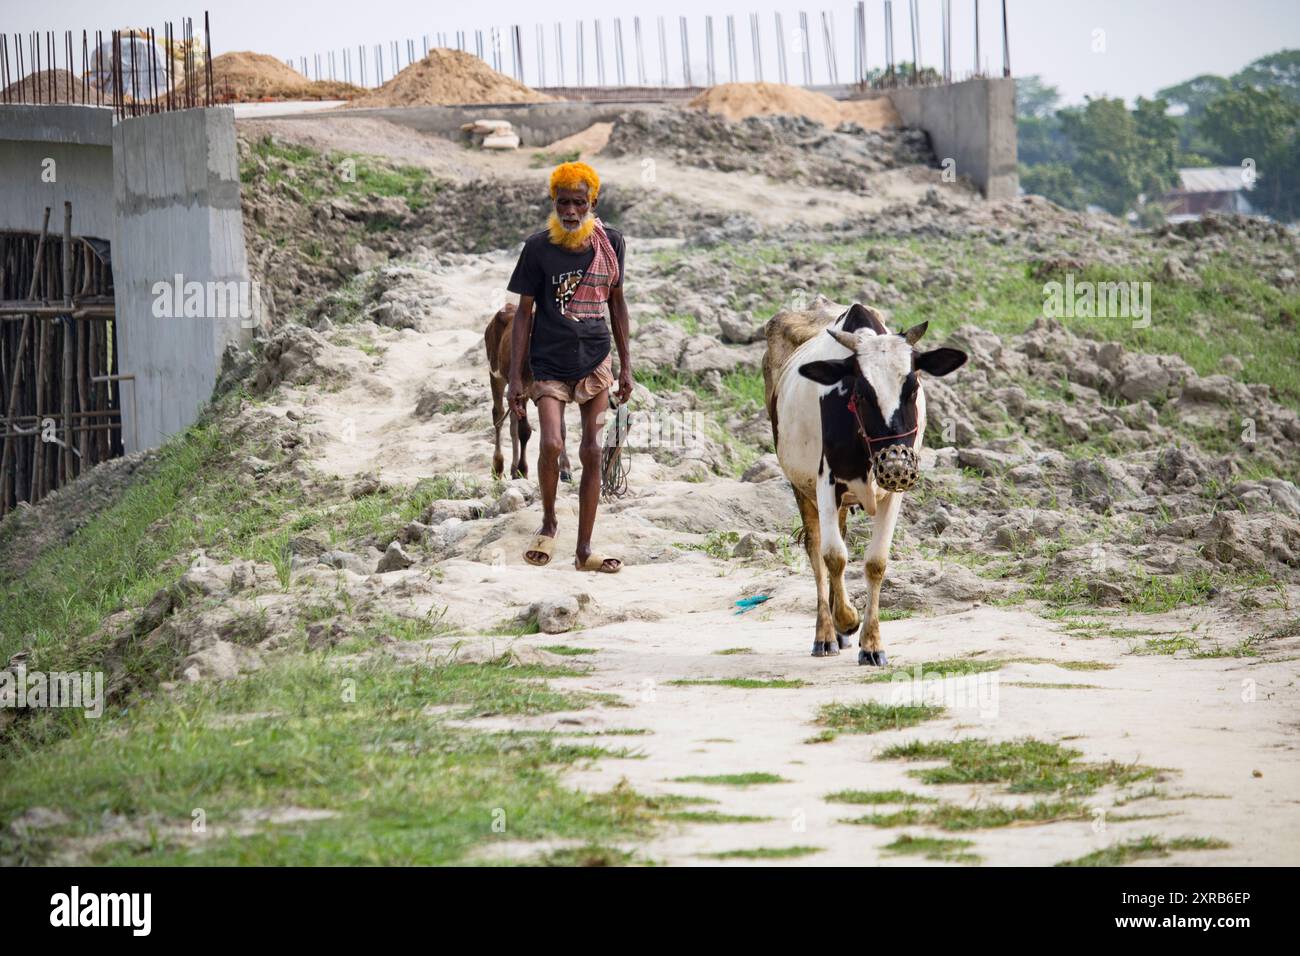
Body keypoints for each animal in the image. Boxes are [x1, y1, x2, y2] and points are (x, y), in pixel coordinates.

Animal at [485, 302, 572, 481]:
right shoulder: (522, 388)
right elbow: (524, 431)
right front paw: (522, 469)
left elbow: (561, 429)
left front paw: (565, 469)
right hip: (495, 375)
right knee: (498, 415)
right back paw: (498, 466)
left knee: (512, 422)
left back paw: (512, 468)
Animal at [763, 301, 968, 665]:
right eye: (860, 392)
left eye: (913, 388)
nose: (896, 464)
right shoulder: (826, 484)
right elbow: (833, 556)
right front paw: (847, 620)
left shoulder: (892, 494)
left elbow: (875, 562)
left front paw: (871, 643)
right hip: (801, 486)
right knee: (816, 551)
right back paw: (826, 634)